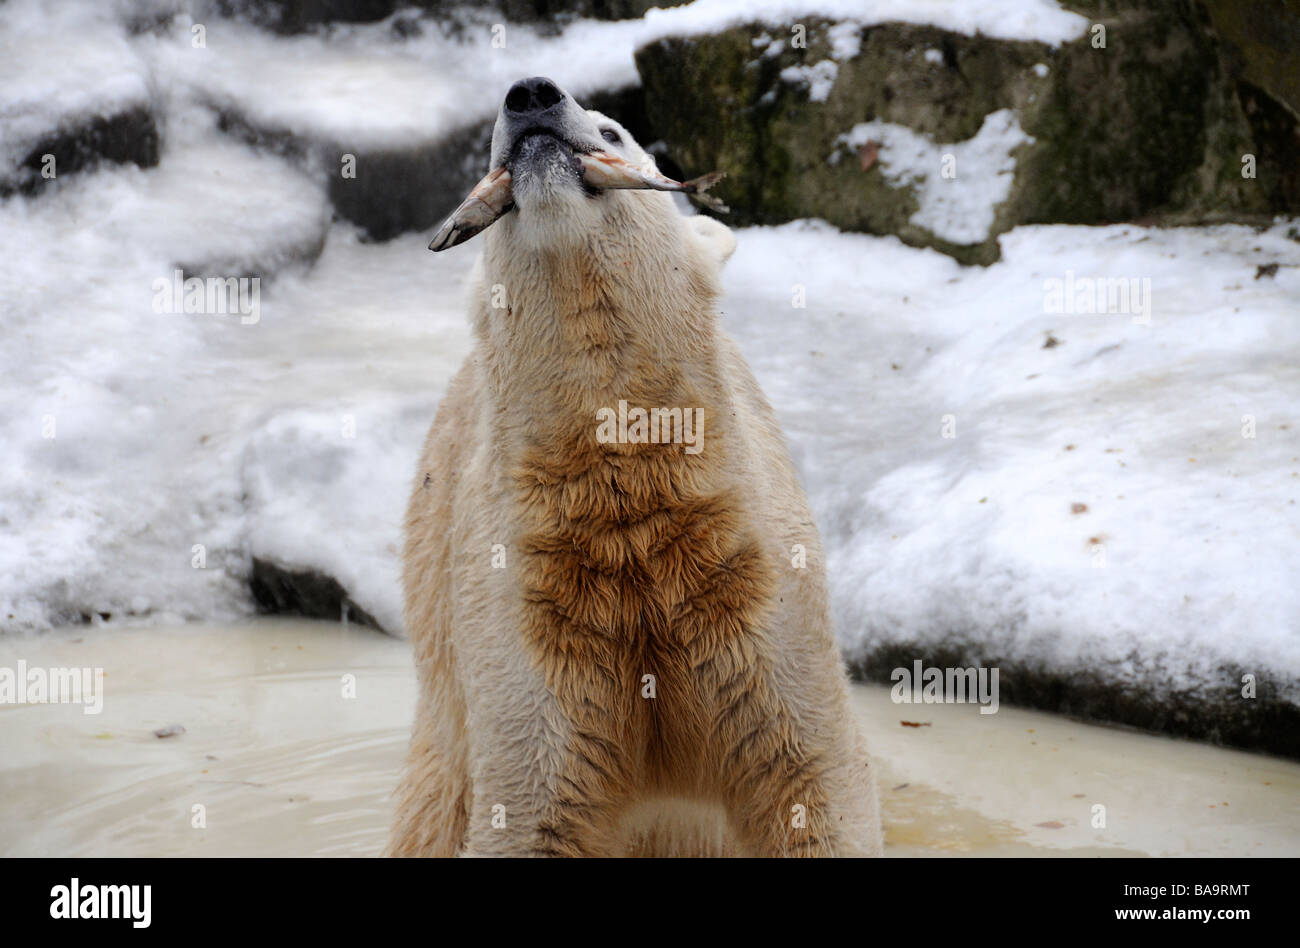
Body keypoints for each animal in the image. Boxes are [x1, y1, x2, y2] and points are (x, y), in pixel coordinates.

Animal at [388, 77, 882, 857]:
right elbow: (532, 807)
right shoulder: (533, 613)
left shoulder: (746, 588)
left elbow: (811, 777)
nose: (530, 96)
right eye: (492, 153)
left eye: (613, 130)